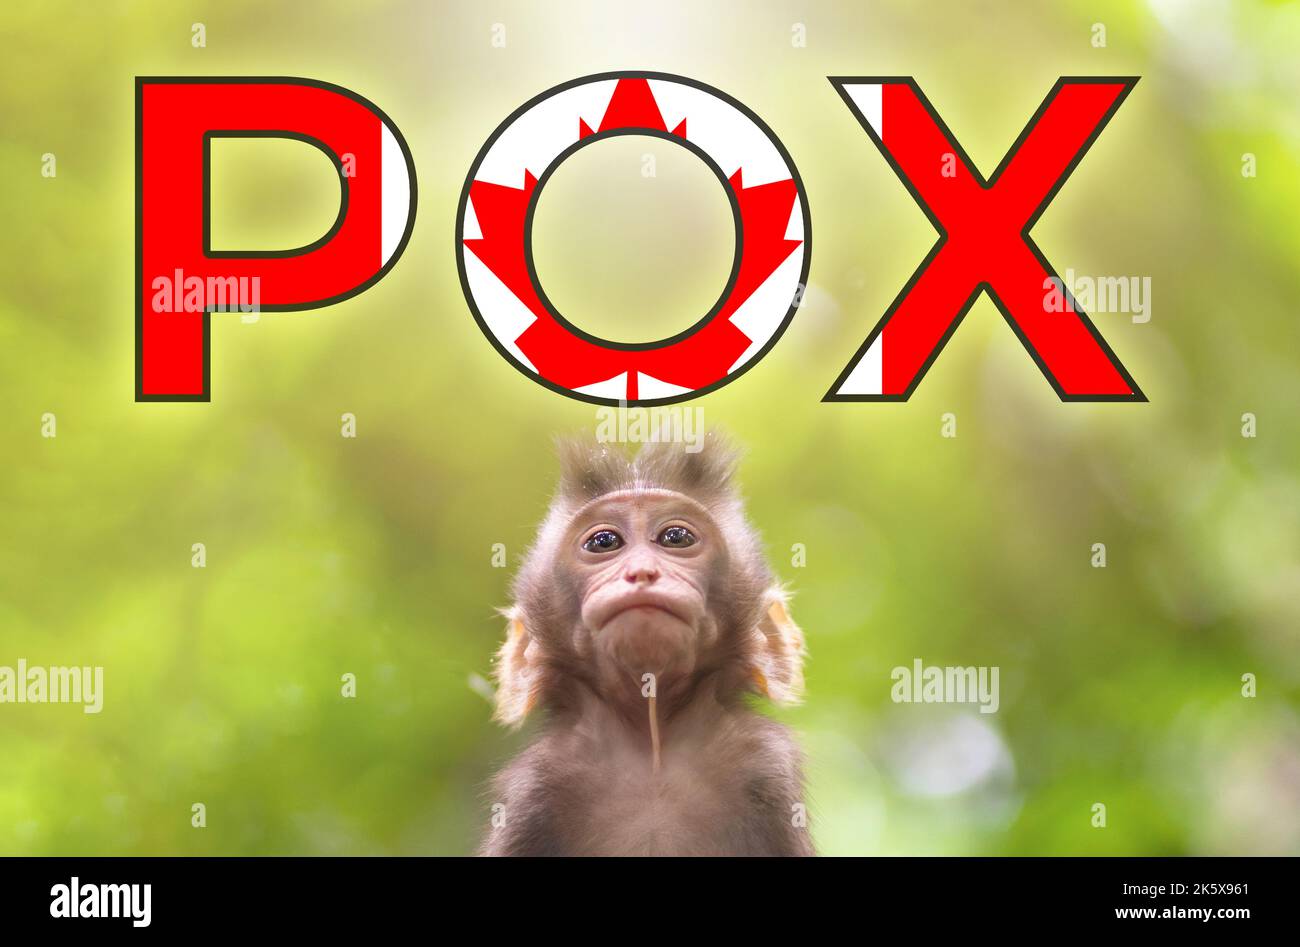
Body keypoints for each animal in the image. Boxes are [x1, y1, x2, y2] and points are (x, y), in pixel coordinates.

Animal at [480, 432, 812, 856]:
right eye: (604, 542)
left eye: (676, 537)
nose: (641, 572)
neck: (652, 754)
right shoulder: (533, 790)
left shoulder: (766, 769)